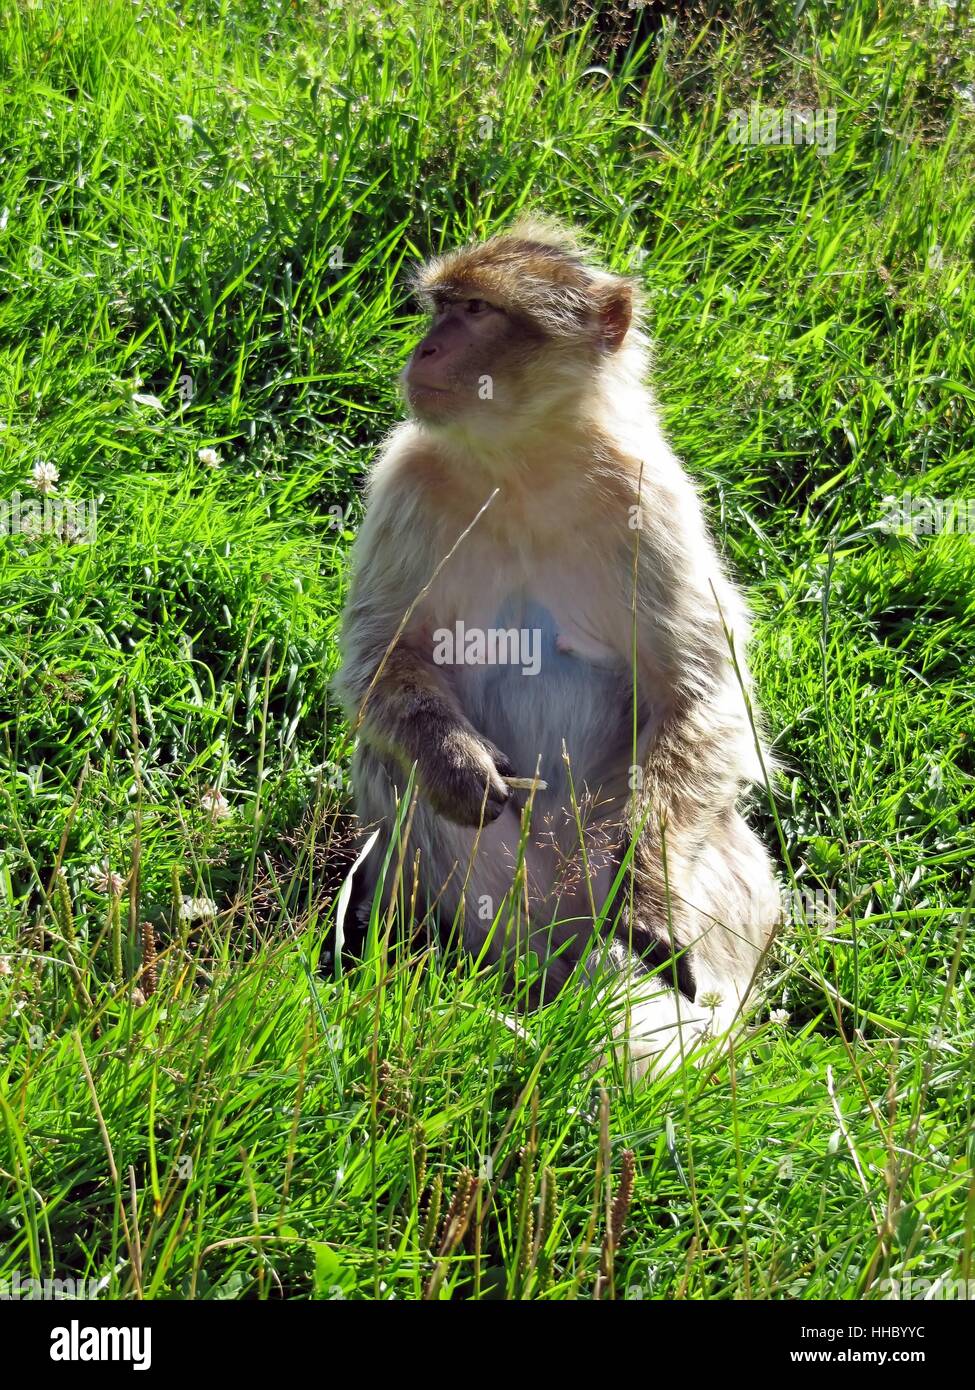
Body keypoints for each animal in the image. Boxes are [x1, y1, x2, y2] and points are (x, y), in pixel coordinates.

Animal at [336, 216, 781, 1081]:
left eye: (476, 311)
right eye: (440, 306)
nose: (424, 349)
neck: (522, 464)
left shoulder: (652, 495)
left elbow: (702, 692)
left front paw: (648, 895)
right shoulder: (403, 478)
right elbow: (379, 658)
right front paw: (456, 765)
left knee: (718, 832)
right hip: (508, 902)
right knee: (394, 770)